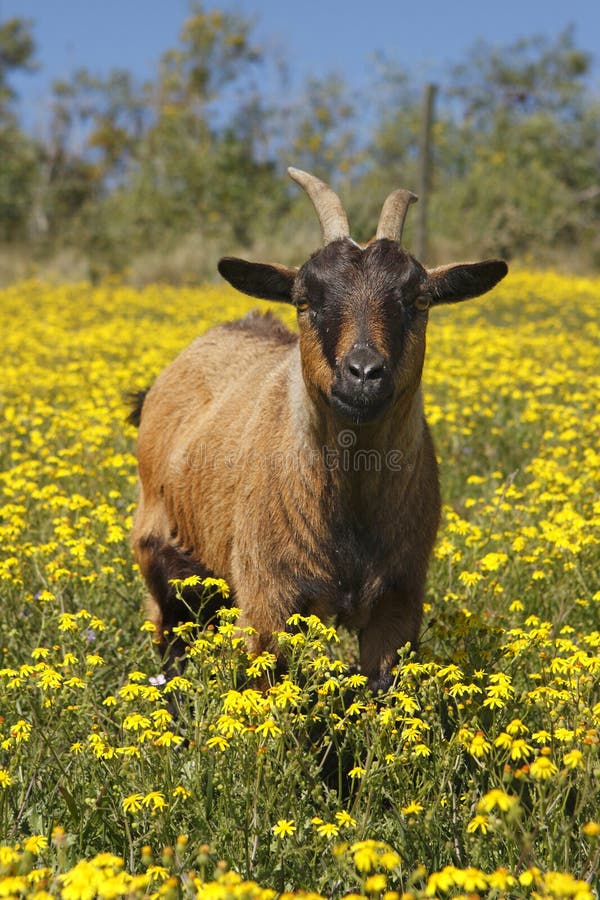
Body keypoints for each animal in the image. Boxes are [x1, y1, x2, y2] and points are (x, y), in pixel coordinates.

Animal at [131, 167, 507, 691]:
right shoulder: (267, 602)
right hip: (158, 554)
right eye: (305, 299)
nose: (364, 373)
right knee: (168, 651)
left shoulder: (399, 602)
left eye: (420, 299)